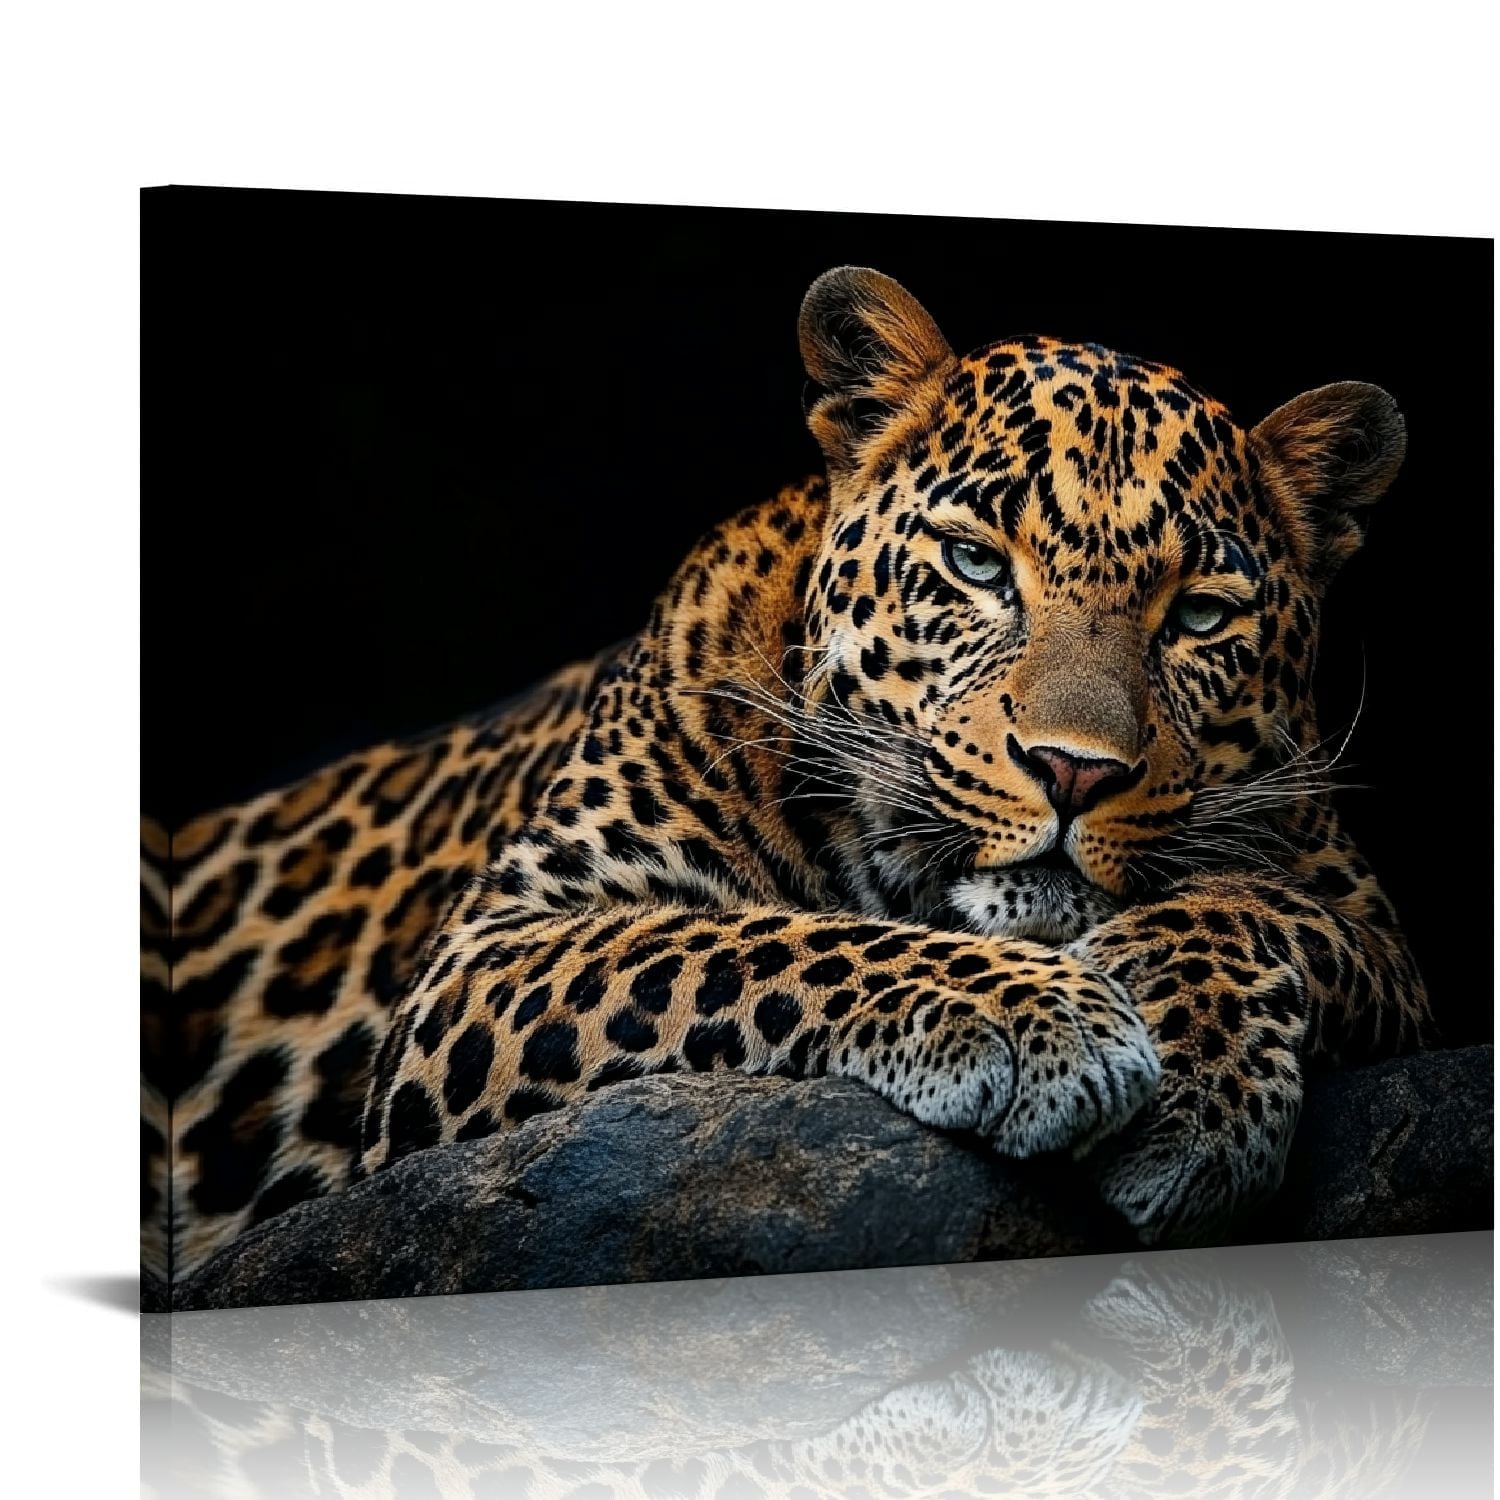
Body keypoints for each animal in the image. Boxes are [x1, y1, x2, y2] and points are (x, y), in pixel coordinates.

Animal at [143, 265, 1432, 1290]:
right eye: (977, 563)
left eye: (1200, 616)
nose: (1071, 772)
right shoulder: (493, 947)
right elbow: (747, 939)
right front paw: (1036, 1014)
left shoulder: (1372, 927)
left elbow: (1257, 908)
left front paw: (1199, 1082)